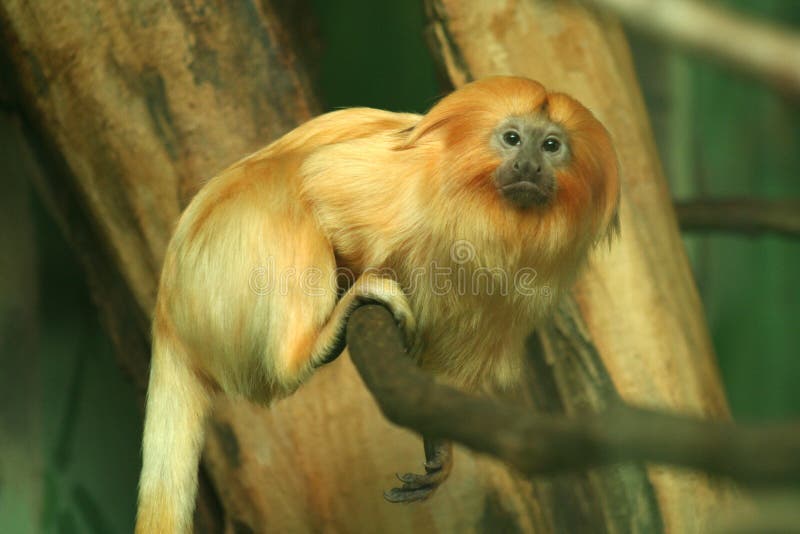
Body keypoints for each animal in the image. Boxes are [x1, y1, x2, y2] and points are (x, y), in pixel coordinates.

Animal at [135, 76, 620, 533]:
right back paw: (308, 346)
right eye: (513, 138)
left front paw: (439, 445)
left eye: (552, 146)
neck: (486, 209)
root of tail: (168, 317)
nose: (528, 165)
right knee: (282, 199)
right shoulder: (406, 177)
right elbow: (316, 178)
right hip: (219, 270)